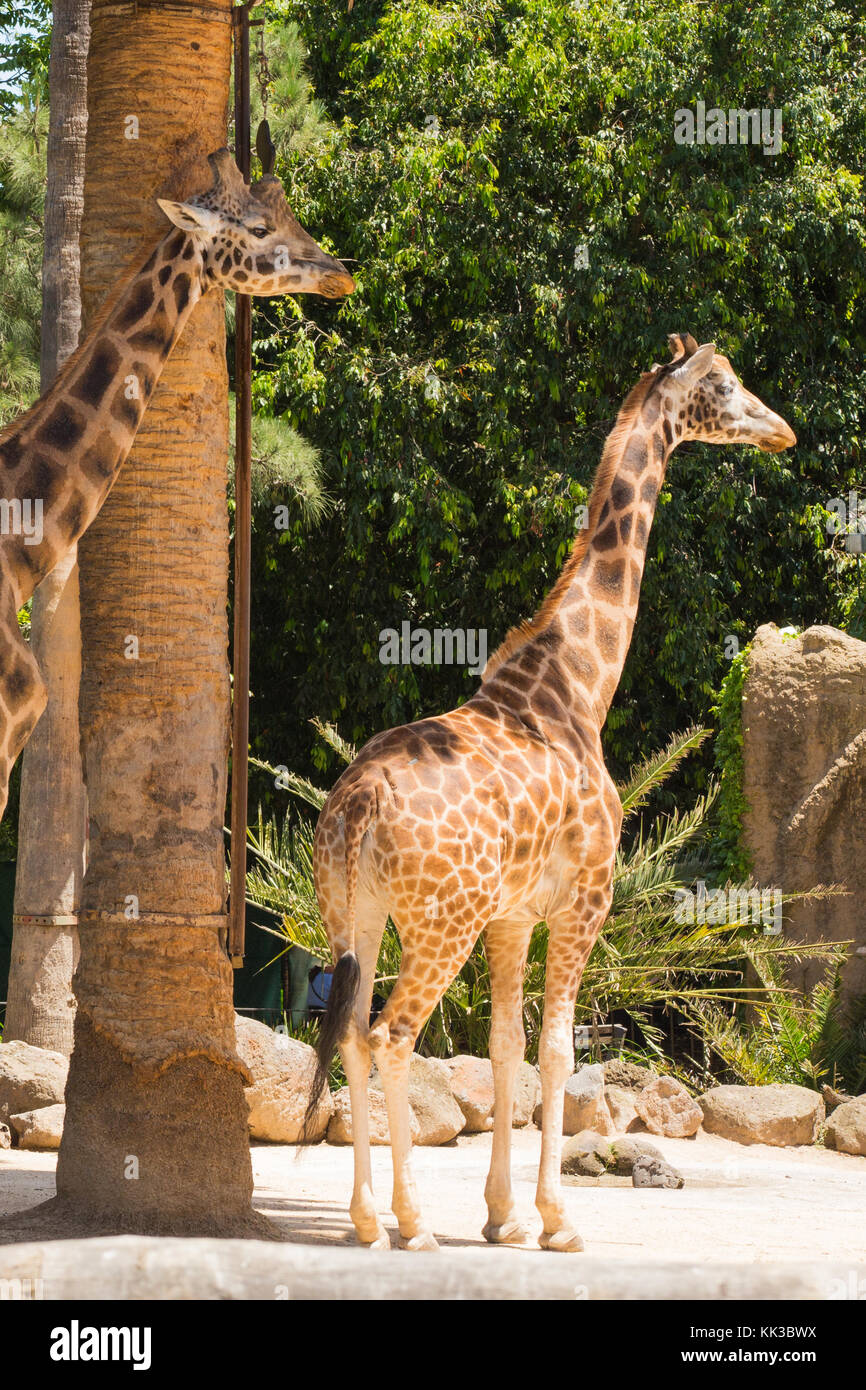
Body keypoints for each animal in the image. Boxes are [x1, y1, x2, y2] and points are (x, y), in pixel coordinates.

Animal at [309, 334, 796, 1251]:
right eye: (723, 384)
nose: (780, 429)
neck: (577, 685)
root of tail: (358, 808)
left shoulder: (511, 916)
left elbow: (507, 1046)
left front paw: (502, 1216)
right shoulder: (582, 902)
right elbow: (561, 1054)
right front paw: (557, 1221)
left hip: (355, 912)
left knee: (350, 1032)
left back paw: (364, 1221)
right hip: (439, 922)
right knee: (393, 1034)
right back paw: (411, 1223)